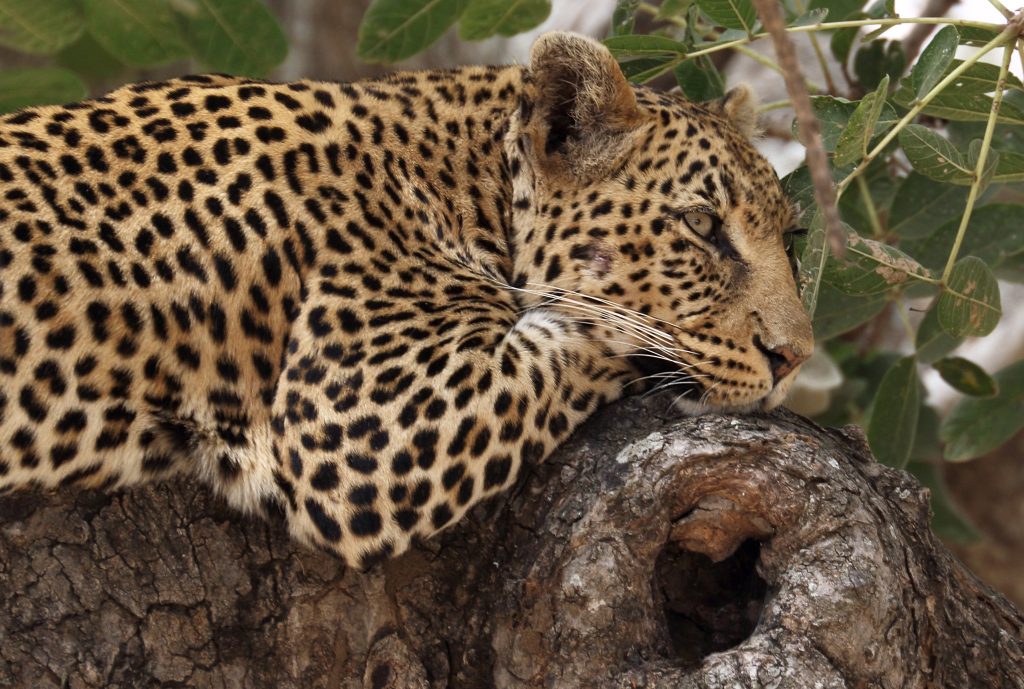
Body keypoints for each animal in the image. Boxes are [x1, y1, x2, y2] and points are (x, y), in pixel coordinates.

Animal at [0, 32, 813, 569]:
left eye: (793, 239)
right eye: (702, 225)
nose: (794, 358)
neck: (464, 172)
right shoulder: (359, 422)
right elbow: (573, 331)